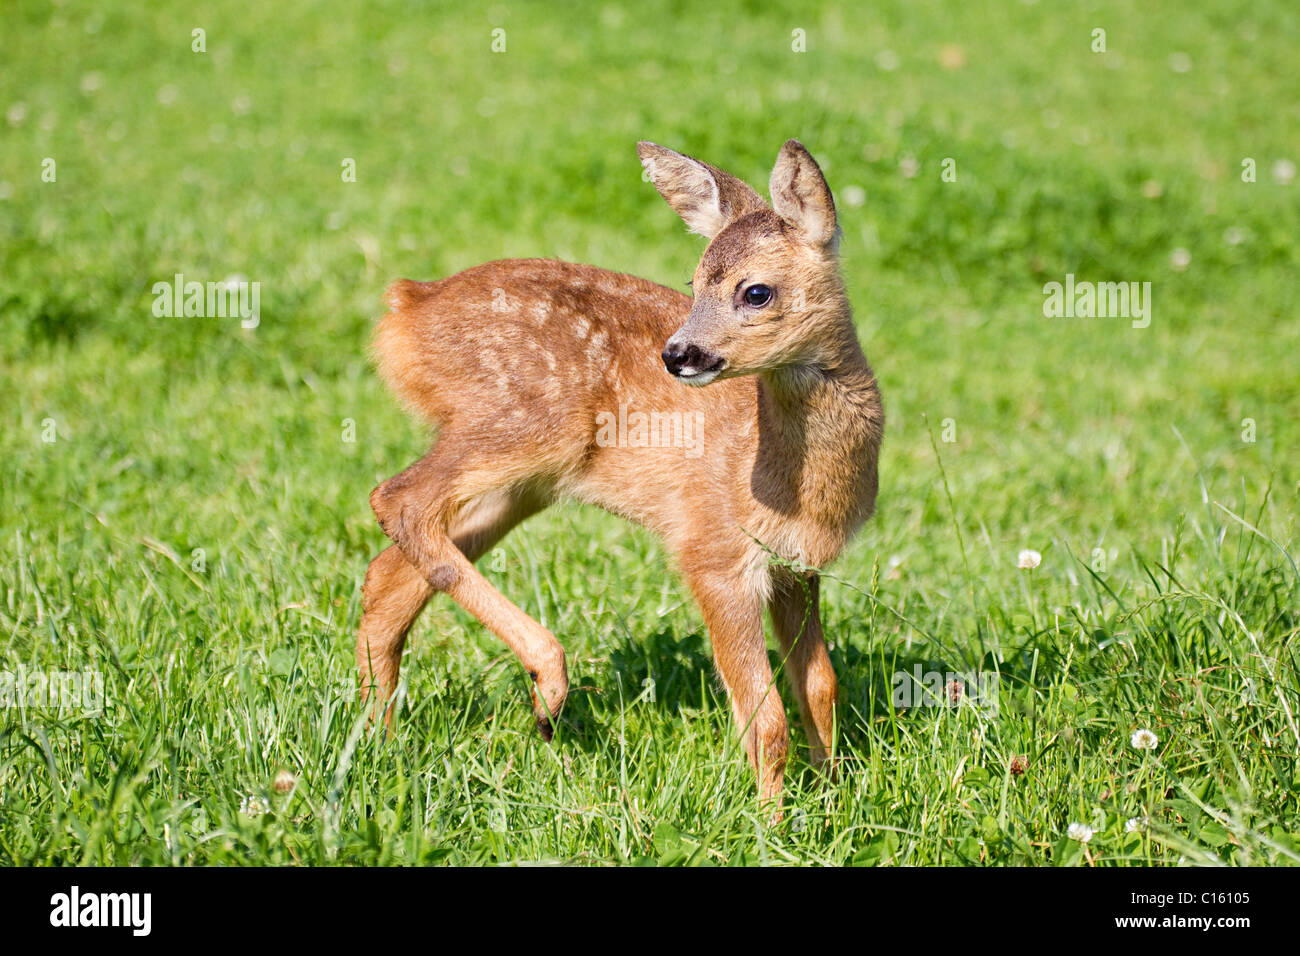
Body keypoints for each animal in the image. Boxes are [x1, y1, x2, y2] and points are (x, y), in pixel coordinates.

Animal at [356, 139, 884, 811]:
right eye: (694, 282)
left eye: (755, 292)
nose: (676, 355)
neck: (791, 478)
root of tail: (403, 309)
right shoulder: (712, 552)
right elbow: (766, 718)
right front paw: (773, 820)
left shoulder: (797, 566)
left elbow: (820, 686)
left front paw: (834, 796)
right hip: (523, 422)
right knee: (397, 498)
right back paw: (547, 684)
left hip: (531, 478)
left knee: (389, 572)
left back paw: (380, 738)